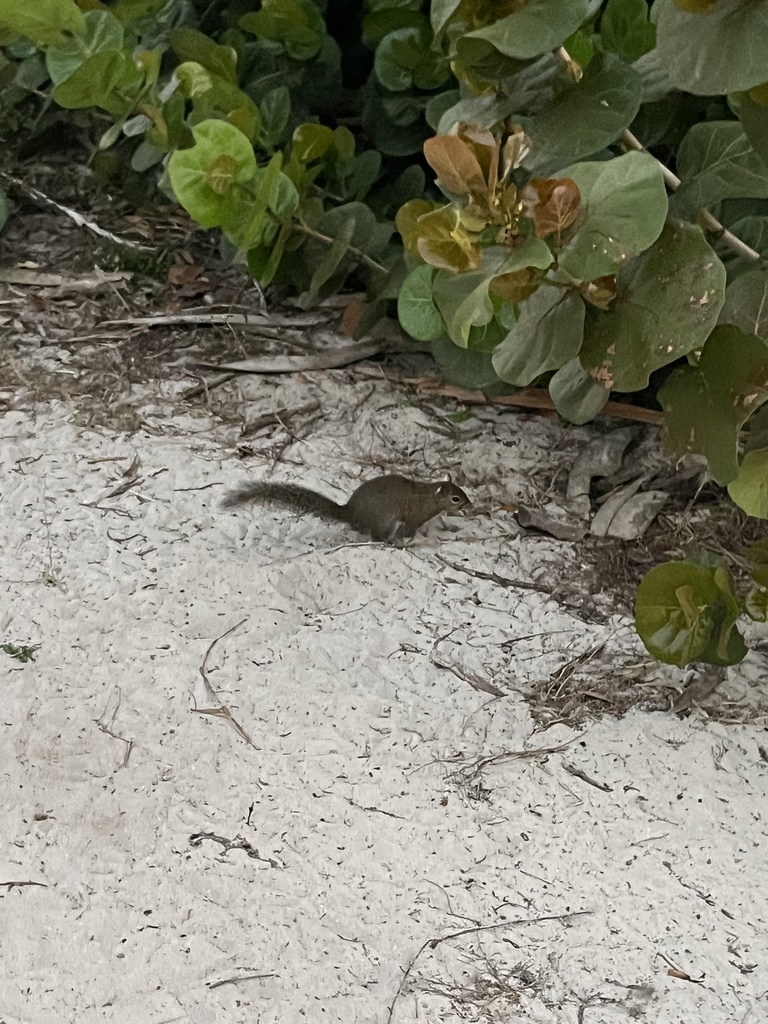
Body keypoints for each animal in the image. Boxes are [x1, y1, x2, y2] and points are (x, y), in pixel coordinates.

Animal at [221, 474, 470, 542]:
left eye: (462, 492)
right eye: (456, 498)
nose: (469, 504)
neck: (429, 496)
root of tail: (350, 513)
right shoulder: (414, 517)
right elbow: (409, 531)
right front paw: (408, 542)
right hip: (386, 521)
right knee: (378, 537)